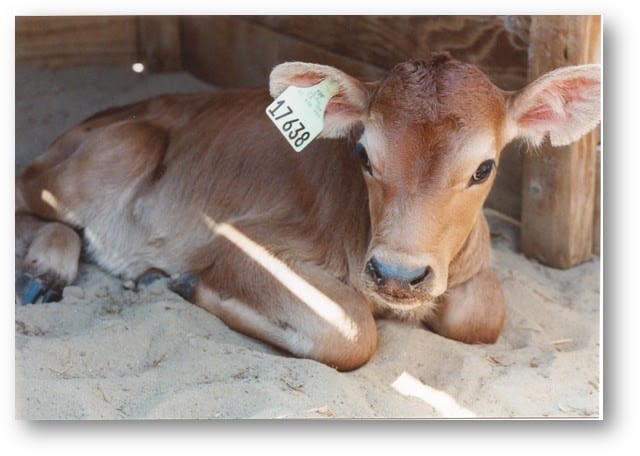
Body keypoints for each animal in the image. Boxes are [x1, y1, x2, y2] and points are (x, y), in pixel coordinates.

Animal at [15, 53, 601, 371]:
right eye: (364, 154)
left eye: (484, 168)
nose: (397, 273)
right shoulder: (240, 240)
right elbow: (351, 328)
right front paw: (182, 282)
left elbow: (482, 316)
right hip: (123, 146)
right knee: (27, 195)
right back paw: (47, 269)